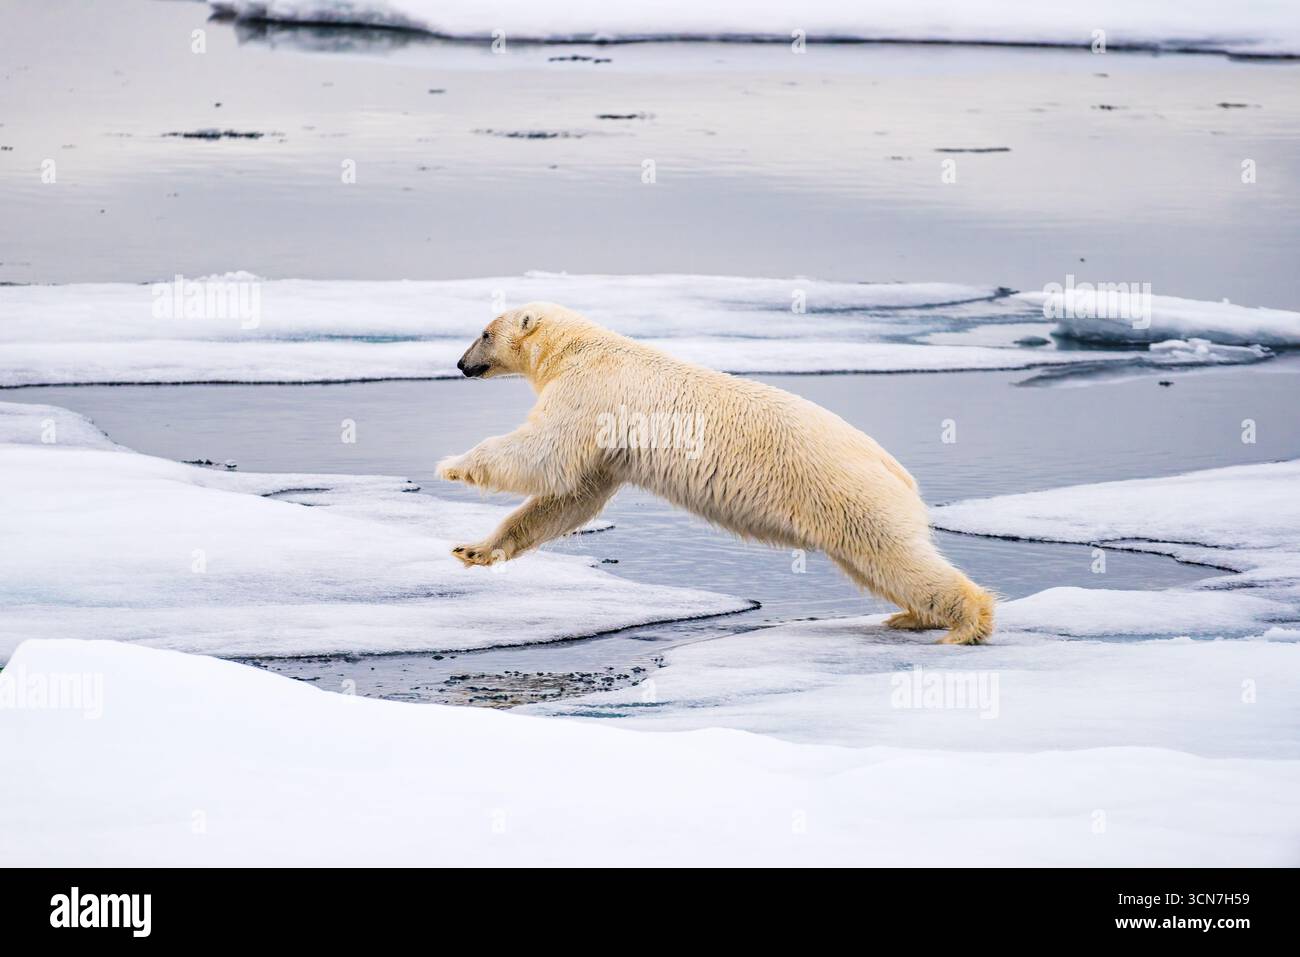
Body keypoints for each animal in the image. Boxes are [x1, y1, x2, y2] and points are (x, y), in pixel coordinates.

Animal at [436, 302, 996, 644]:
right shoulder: (609, 443)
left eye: (484, 333)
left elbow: (545, 454)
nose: (461, 364)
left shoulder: (590, 394)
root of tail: (897, 472)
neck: (580, 347)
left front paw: (452, 465)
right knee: (876, 564)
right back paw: (910, 616)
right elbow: (570, 497)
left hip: (846, 492)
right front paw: (474, 550)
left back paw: (966, 623)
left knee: (897, 557)